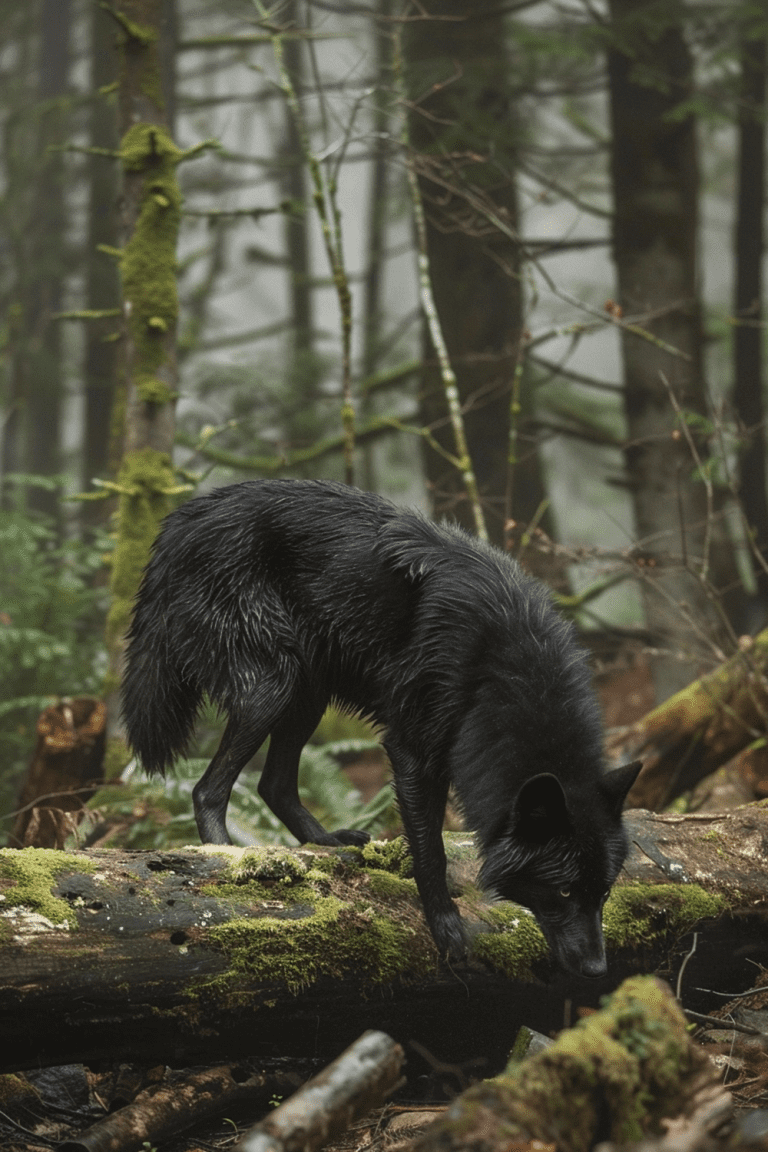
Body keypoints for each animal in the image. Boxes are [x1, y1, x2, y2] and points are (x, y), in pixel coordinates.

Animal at [122, 479, 641, 977]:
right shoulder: (412, 751)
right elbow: (430, 850)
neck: (505, 670)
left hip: (305, 694)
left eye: (604, 893)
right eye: (566, 891)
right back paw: (229, 861)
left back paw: (324, 841)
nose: (597, 970)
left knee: (273, 784)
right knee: (207, 790)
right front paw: (445, 926)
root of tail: (185, 518)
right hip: (271, 689)